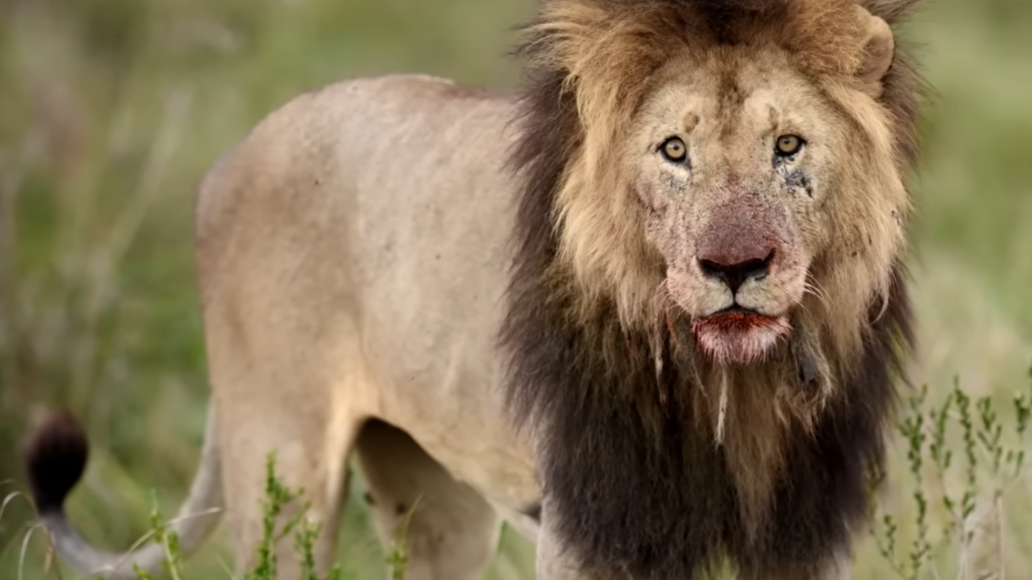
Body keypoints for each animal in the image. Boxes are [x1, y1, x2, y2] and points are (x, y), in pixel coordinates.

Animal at [22, 0, 924, 578]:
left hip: (435, 499)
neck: (733, 389)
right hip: (281, 471)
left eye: (788, 146)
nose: (735, 267)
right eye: (673, 150)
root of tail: (234, 151)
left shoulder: (807, 533)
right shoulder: (589, 531)